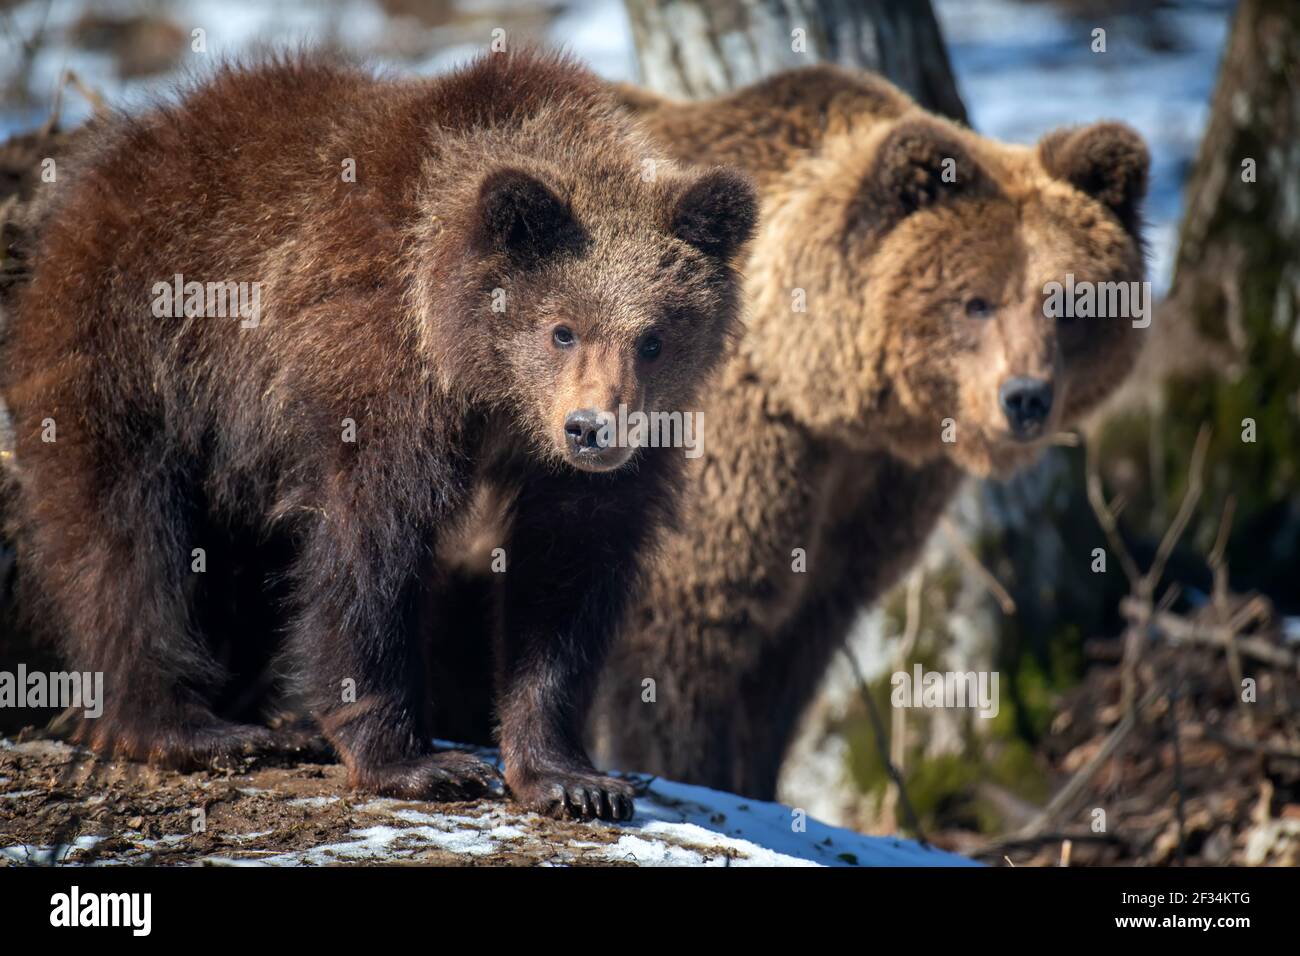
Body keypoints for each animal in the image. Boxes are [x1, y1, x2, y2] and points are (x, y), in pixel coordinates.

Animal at [0, 49, 757, 821]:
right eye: (561, 328)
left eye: (654, 339)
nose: (591, 430)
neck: (479, 377)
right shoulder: (374, 369)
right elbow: (370, 549)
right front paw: (416, 761)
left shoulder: (613, 457)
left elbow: (566, 574)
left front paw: (571, 778)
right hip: (138, 350)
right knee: (129, 539)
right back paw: (189, 725)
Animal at [575, 65, 1149, 799]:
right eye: (976, 301)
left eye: (1070, 301)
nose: (1025, 398)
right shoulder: (721, 467)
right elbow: (678, 651)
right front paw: (692, 776)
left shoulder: (871, 501)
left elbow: (789, 664)